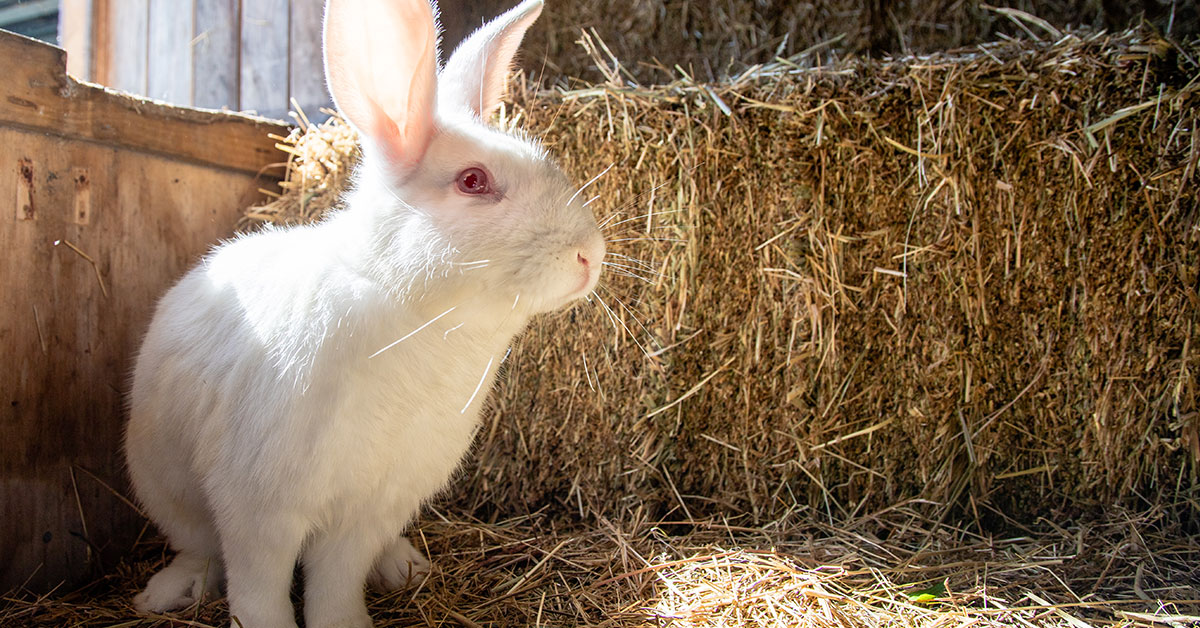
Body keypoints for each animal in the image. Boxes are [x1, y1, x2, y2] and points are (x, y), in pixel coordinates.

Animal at [123, 0, 604, 626]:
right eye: (473, 180)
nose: (590, 255)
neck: (411, 309)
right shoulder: (259, 506)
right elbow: (259, 588)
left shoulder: (370, 508)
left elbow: (336, 583)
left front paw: (347, 621)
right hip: (164, 487)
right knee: (200, 549)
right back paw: (167, 592)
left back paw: (403, 565)